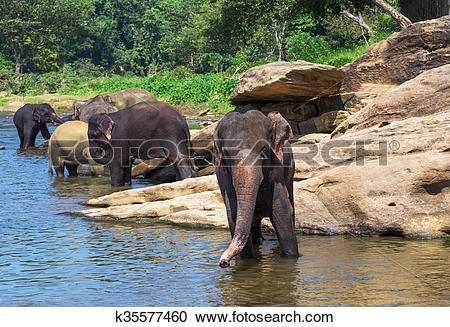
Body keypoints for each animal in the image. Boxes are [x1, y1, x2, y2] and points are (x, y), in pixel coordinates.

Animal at [212, 110, 298, 270]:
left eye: (263, 150)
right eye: (226, 155)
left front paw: (290, 259)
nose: (223, 262)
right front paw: (245, 262)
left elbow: (281, 210)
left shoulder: (276, 166)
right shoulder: (221, 172)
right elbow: (233, 212)